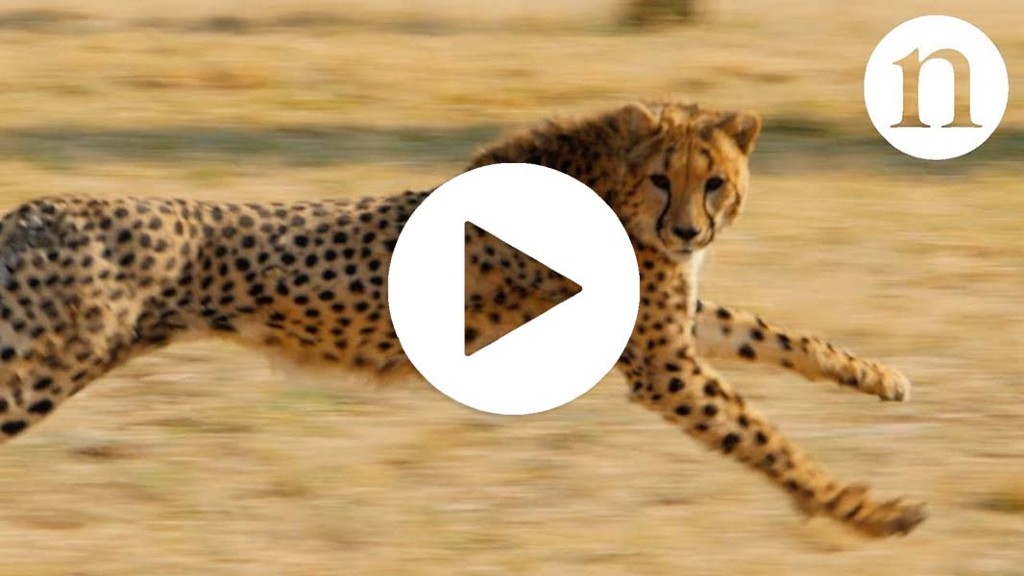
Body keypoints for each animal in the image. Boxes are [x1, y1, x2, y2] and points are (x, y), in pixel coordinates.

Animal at [0, 99, 926, 538]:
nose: (688, 231)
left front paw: (877, 376)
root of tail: (36, 206)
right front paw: (863, 510)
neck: (610, 187)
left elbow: (774, 333)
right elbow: (765, 438)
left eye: (715, 181)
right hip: (39, 366)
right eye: (664, 177)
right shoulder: (661, 363)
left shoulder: (663, 329)